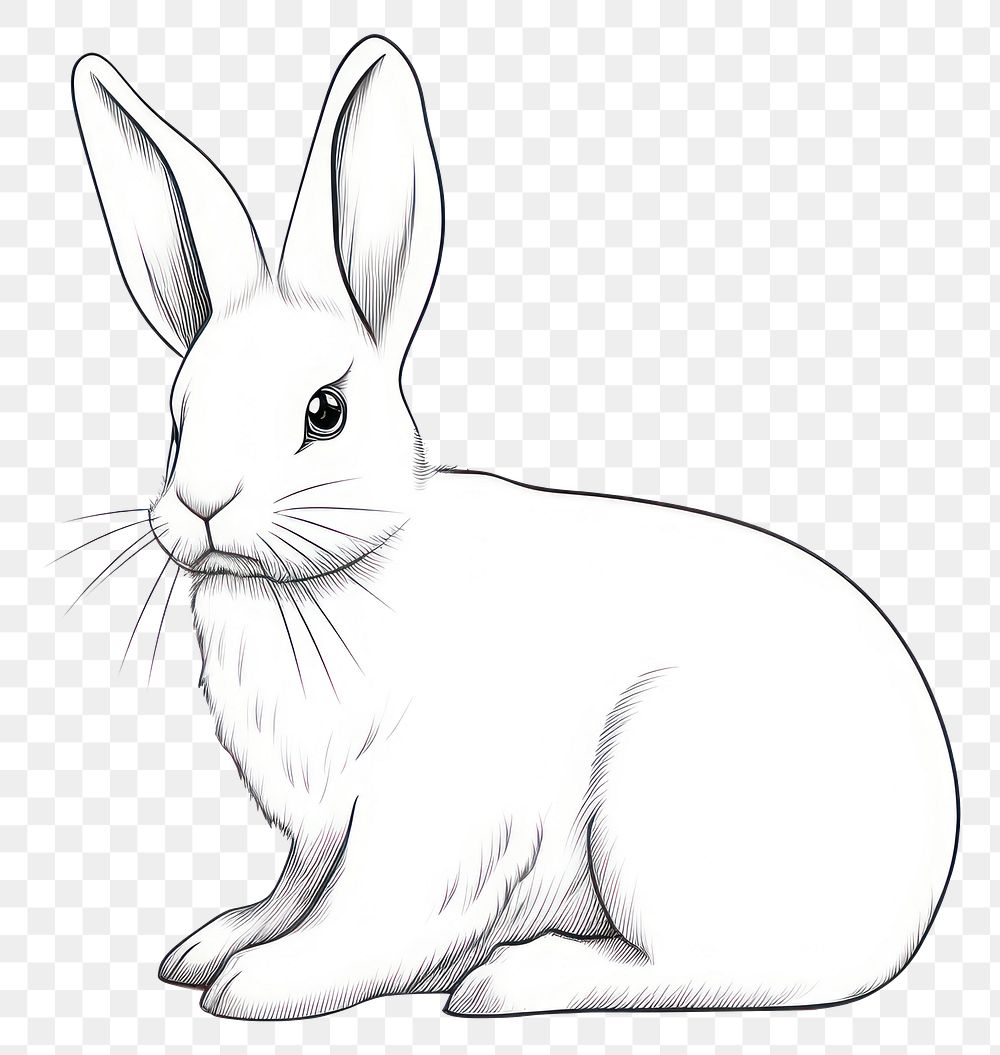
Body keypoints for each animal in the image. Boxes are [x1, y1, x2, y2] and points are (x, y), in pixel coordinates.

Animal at [71, 35, 958, 1021]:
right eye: (178, 419)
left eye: (325, 411)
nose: (203, 504)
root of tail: (915, 903)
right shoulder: (321, 828)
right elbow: (297, 887)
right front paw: (212, 944)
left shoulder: (427, 812)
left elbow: (368, 914)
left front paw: (261, 981)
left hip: (655, 800)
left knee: (703, 968)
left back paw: (508, 977)